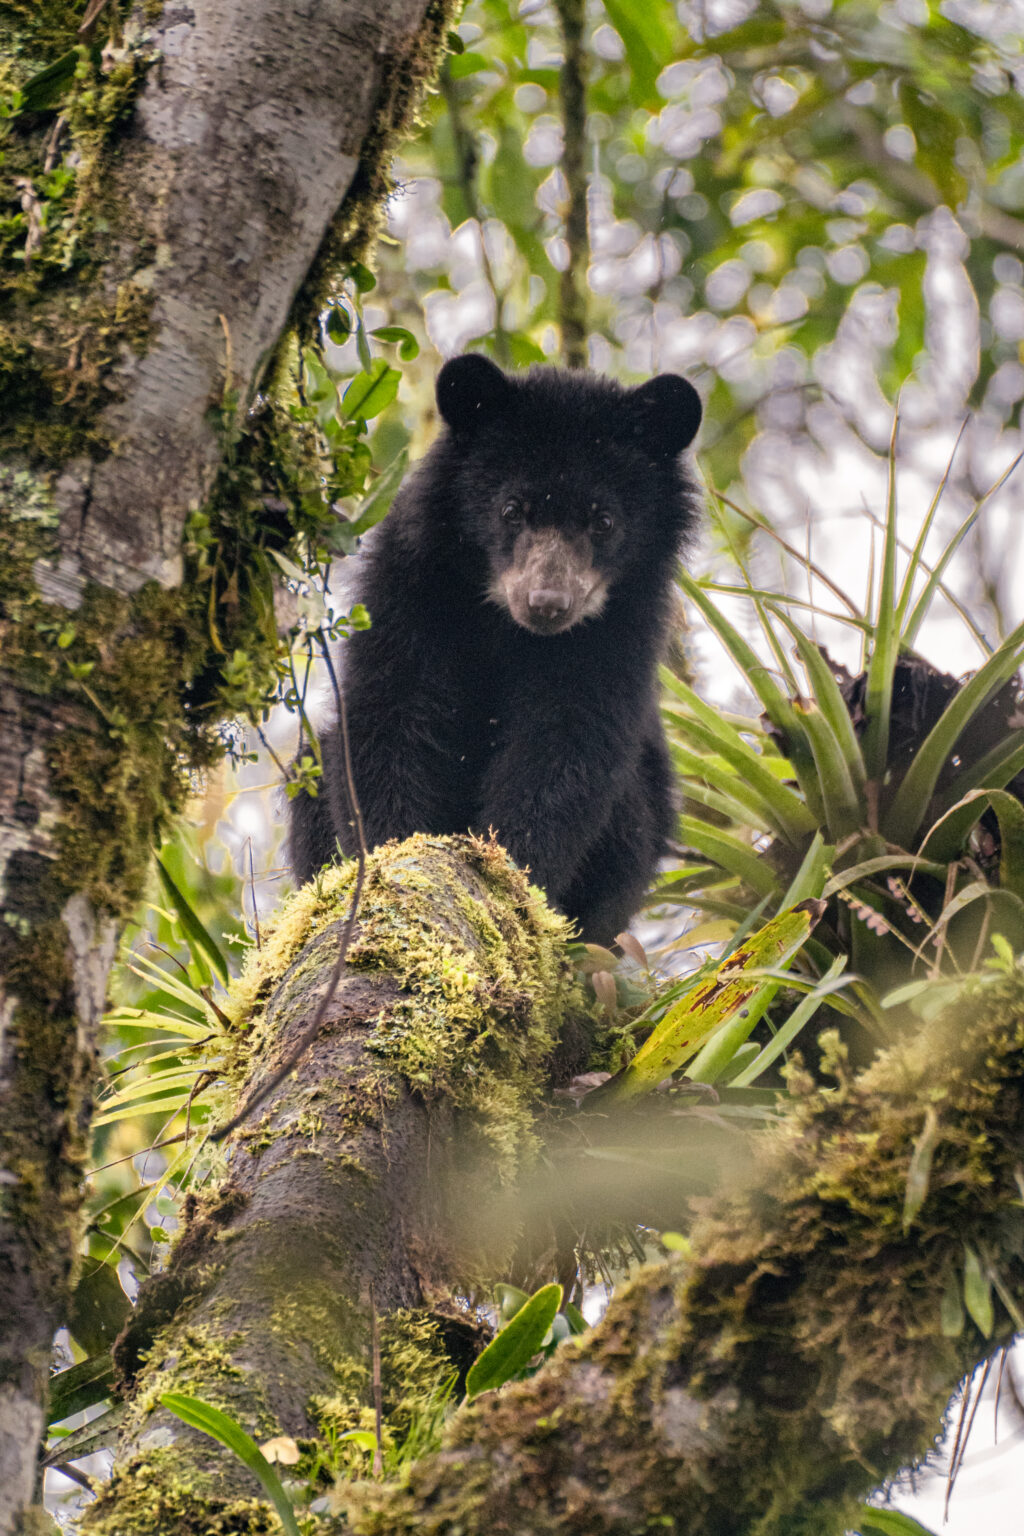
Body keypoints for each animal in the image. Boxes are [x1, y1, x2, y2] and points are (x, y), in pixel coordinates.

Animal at [289, 354, 702, 944]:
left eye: (603, 520)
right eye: (512, 510)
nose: (548, 604)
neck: (505, 626)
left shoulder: (620, 629)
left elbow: (567, 742)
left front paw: (511, 875)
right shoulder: (410, 586)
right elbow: (389, 711)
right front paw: (394, 857)